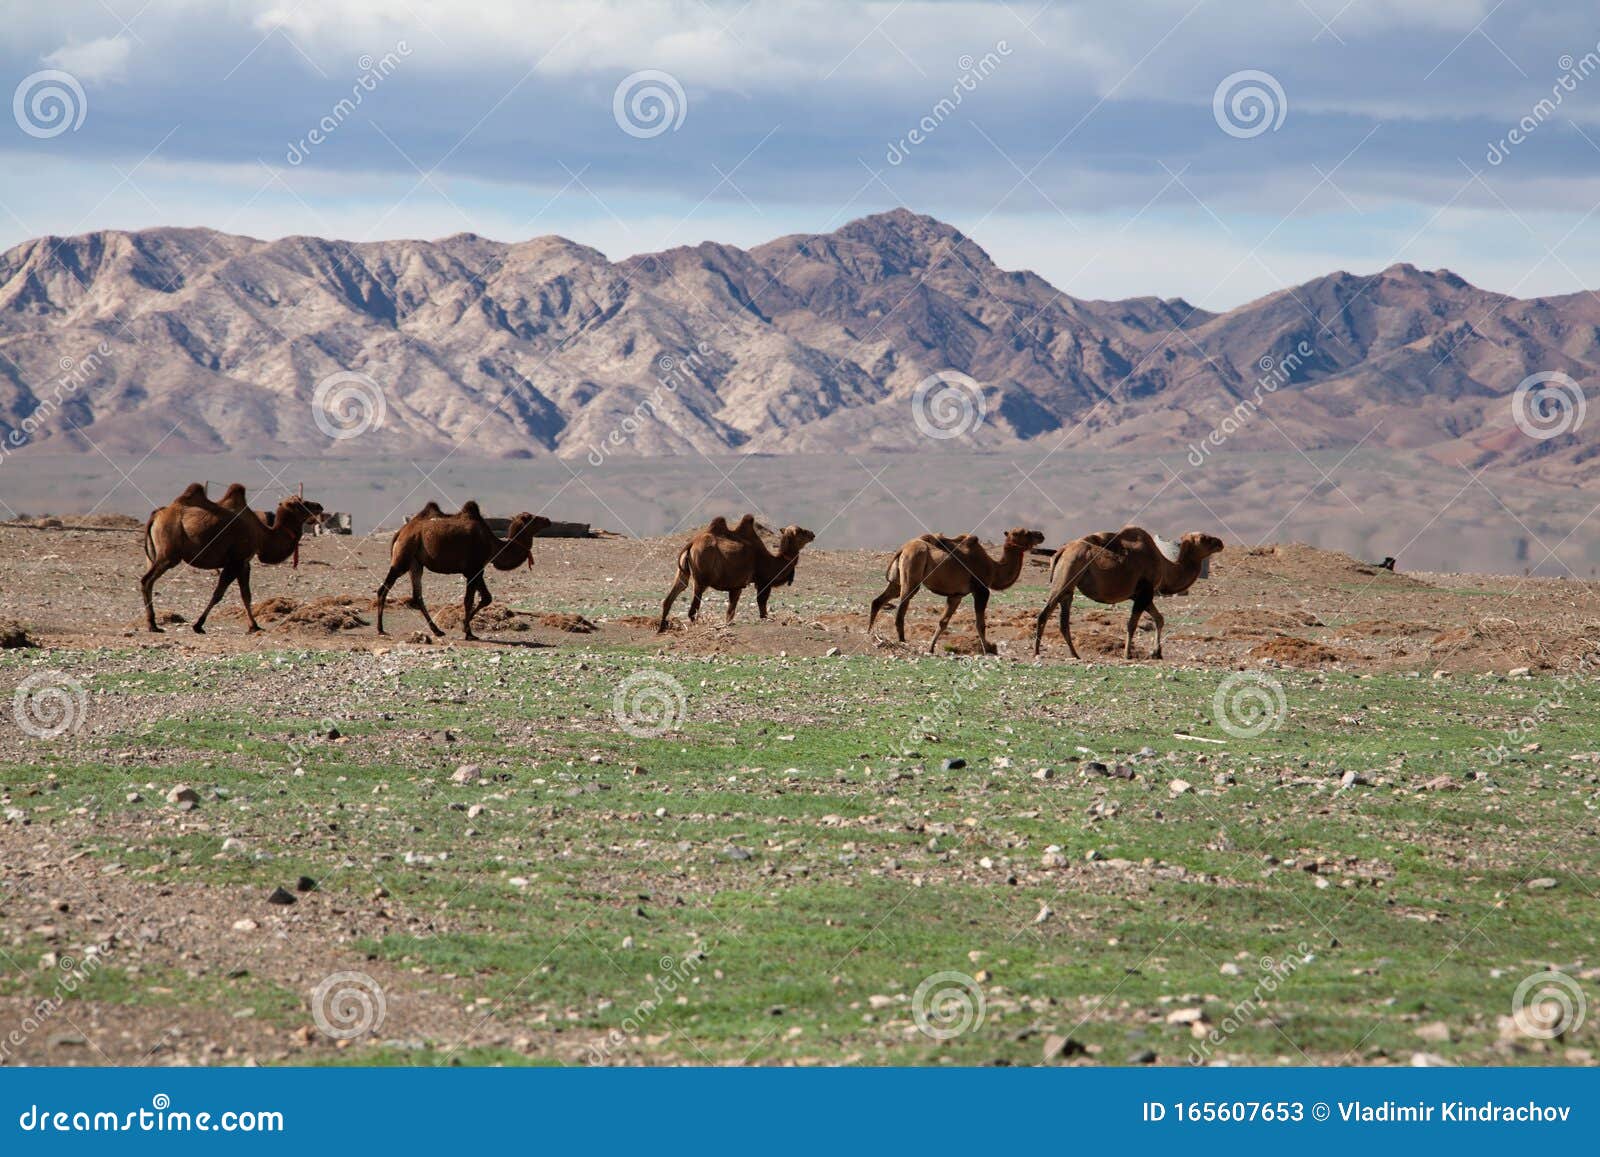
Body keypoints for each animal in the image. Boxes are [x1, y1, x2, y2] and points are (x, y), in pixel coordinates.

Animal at [140, 487, 324, 633]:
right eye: (303, 503)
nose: (319, 506)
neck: (262, 535)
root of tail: (156, 516)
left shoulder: (244, 563)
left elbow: (246, 595)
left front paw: (254, 626)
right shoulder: (235, 561)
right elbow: (218, 594)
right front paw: (198, 625)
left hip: (153, 555)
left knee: (147, 579)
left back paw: (152, 624)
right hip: (168, 555)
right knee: (146, 580)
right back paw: (153, 625)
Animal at [375, 501, 552, 640]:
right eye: (531, 517)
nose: (548, 520)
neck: (493, 545)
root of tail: (401, 531)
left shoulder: (476, 570)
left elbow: (484, 598)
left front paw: (465, 627)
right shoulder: (474, 569)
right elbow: (471, 600)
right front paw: (468, 632)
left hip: (416, 563)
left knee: (417, 595)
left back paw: (437, 631)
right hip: (403, 558)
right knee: (384, 588)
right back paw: (381, 629)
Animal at [657, 517, 816, 630]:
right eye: (801, 531)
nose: (812, 534)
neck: (772, 562)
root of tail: (691, 544)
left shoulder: (737, 586)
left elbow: (730, 612)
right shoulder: (762, 582)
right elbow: (761, 604)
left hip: (683, 572)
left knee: (673, 594)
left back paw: (662, 627)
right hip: (701, 579)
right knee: (693, 607)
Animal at [868, 527, 1046, 654]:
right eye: (1023, 532)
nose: (1041, 534)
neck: (994, 569)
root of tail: (903, 548)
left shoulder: (956, 595)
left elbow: (943, 622)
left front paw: (931, 648)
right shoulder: (981, 590)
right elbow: (980, 624)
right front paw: (987, 650)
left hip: (897, 581)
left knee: (878, 601)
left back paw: (870, 633)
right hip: (913, 573)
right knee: (901, 609)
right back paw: (902, 641)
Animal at [1031, 526, 1224, 659]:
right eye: (1204, 538)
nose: (1220, 542)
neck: (1165, 565)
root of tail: (1062, 551)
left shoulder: (1141, 595)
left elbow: (1159, 619)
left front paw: (1157, 653)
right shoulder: (1145, 591)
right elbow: (1132, 624)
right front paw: (1127, 654)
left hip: (1069, 587)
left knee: (1063, 620)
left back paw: (1074, 654)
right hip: (1065, 577)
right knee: (1044, 613)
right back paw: (1037, 652)